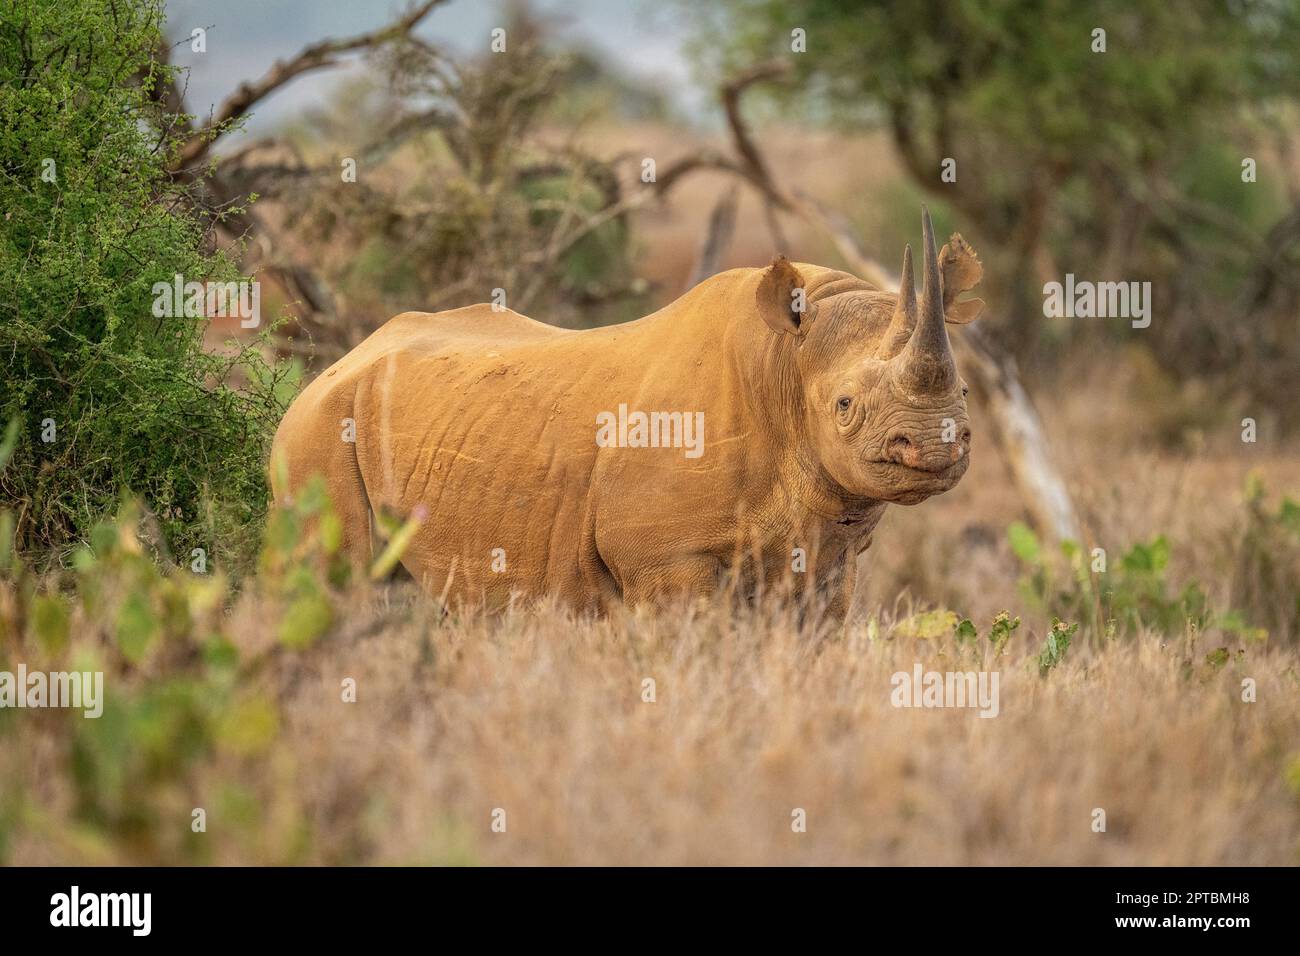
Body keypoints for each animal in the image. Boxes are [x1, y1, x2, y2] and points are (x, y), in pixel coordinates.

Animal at [270, 208, 984, 622]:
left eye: (967, 395)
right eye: (844, 406)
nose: (934, 445)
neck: (785, 367)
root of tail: (333, 367)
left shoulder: (828, 555)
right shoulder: (667, 560)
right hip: (317, 430)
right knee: (328, 580)